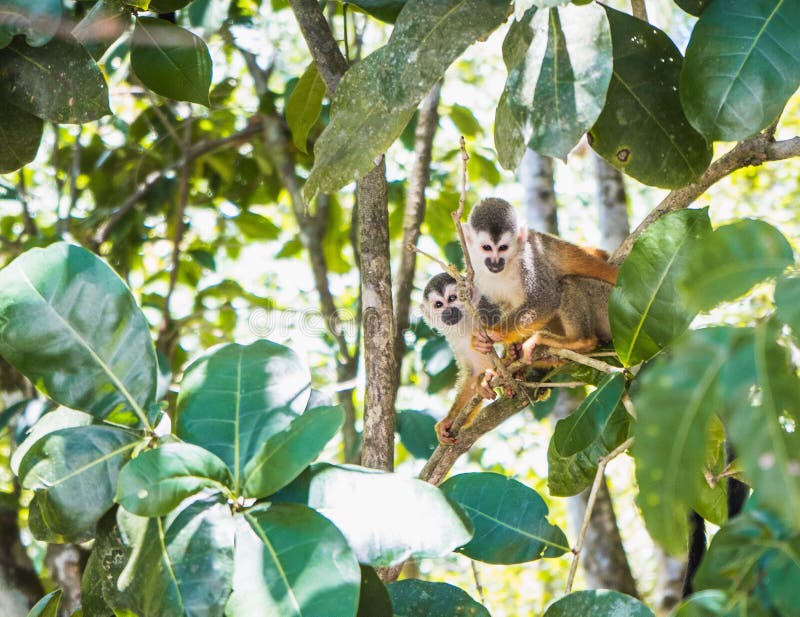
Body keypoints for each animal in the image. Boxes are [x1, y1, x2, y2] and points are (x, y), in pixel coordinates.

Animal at [464, 197, 617, 362]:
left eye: (503, 248)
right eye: (486, 247)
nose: (495, 262)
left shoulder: (529, 258)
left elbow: (546, 298)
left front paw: (496, 332)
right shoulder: (474, 266)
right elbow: (493, 303)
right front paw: (482, 342)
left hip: (607, 301)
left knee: (568, 282)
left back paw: (579, 341)